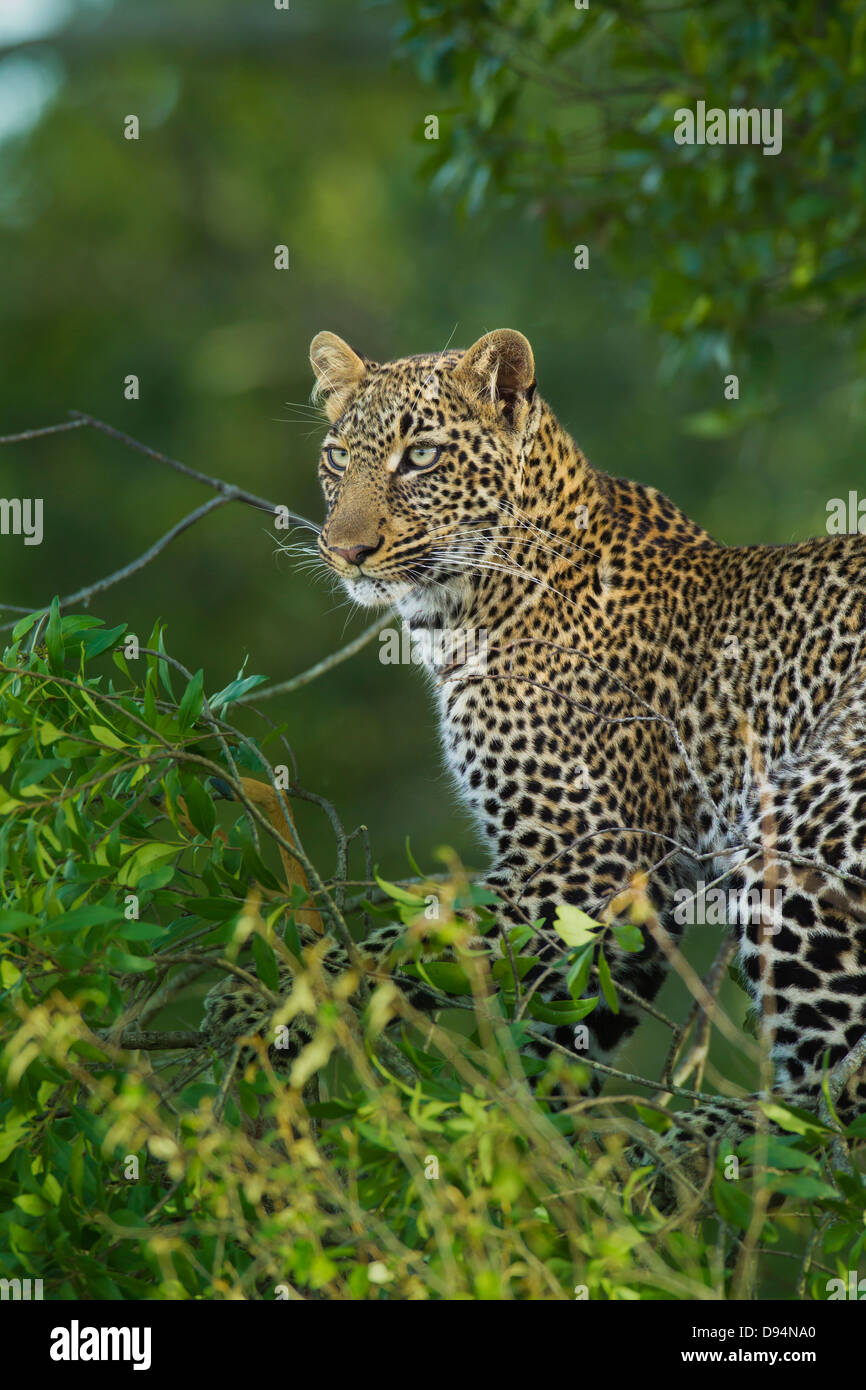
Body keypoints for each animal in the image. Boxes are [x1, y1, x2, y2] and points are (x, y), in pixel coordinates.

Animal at [202, 326, 866, 1181]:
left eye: (420, 457)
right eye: (337, 456)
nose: (344, 550)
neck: (458, 610)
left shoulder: (587, 860)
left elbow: (408, 936)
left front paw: (266, 996)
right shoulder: (632, 907)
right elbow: (566, 1030)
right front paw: (544, 1156)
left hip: (804, 832)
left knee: (831, 1095)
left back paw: (690, 1148)